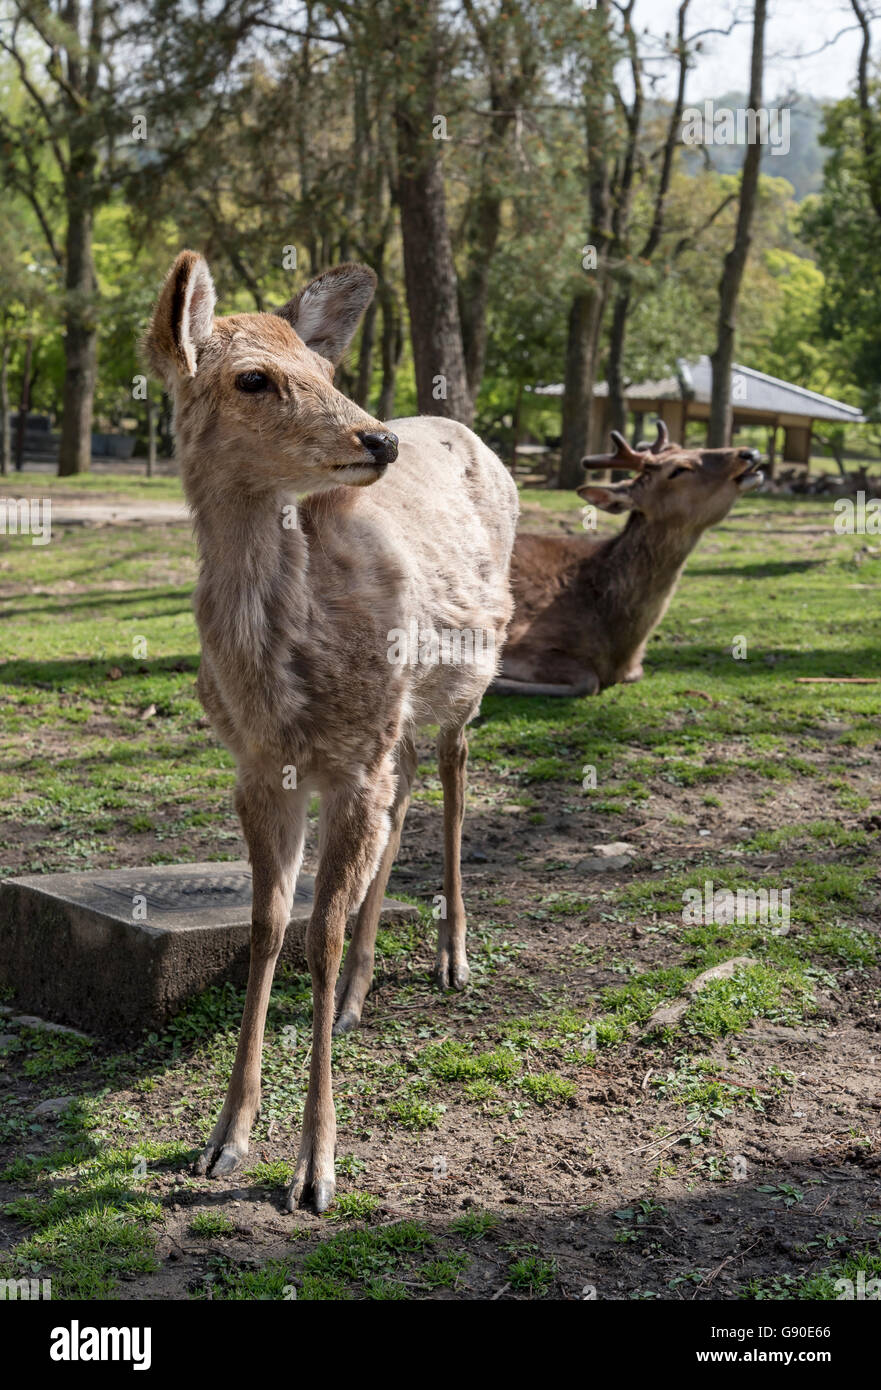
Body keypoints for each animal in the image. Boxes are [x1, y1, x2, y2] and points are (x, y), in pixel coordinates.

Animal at [144, 251, 518, 1212]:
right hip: (393, 724)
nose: (378, 441)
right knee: (409, 780)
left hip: (470, 673)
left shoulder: (349, 765)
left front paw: (315, 1170)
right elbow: (270, 927)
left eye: (324, 368)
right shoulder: (260, 769)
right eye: (253, 378)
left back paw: (452, 957)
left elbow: (321, 930)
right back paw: (355, 998)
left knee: (454, 768)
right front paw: (223, 1140)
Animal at [493, 421, 762, 697]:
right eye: (678, 469)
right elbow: (588, 681)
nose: (749, 453)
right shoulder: (517, 637)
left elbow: (632, 674)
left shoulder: (633, 668)